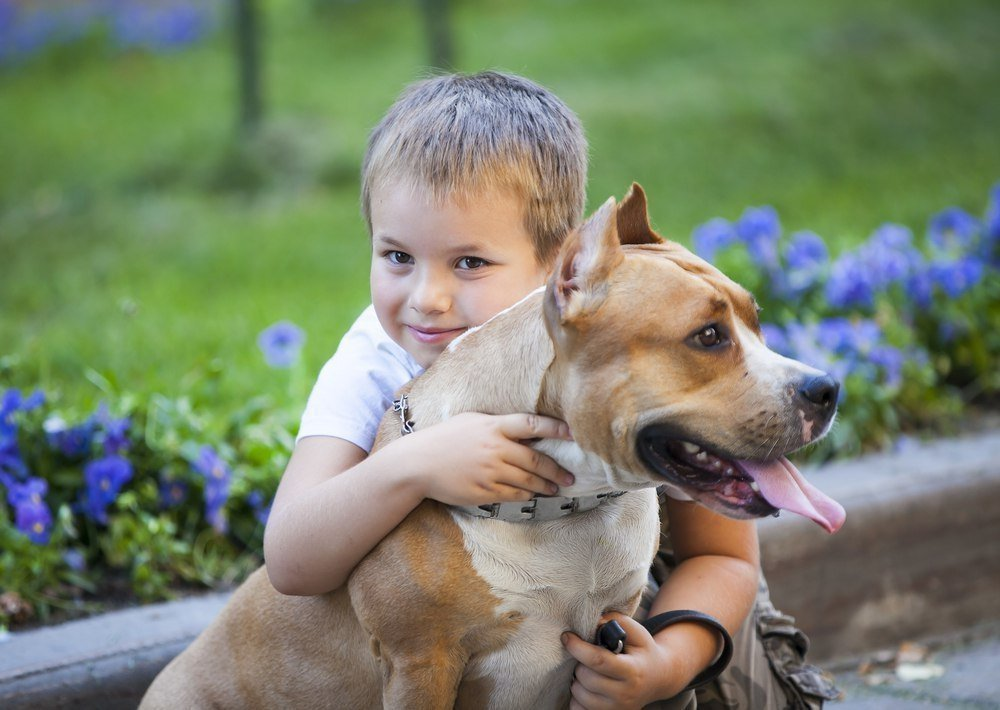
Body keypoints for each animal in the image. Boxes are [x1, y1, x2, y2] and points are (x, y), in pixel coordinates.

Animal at [141, 185, 844, 710]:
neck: (563, 513)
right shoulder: (421, 664)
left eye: (756, 320)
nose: (827, 388)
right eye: (707, 336)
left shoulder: (614, 628)